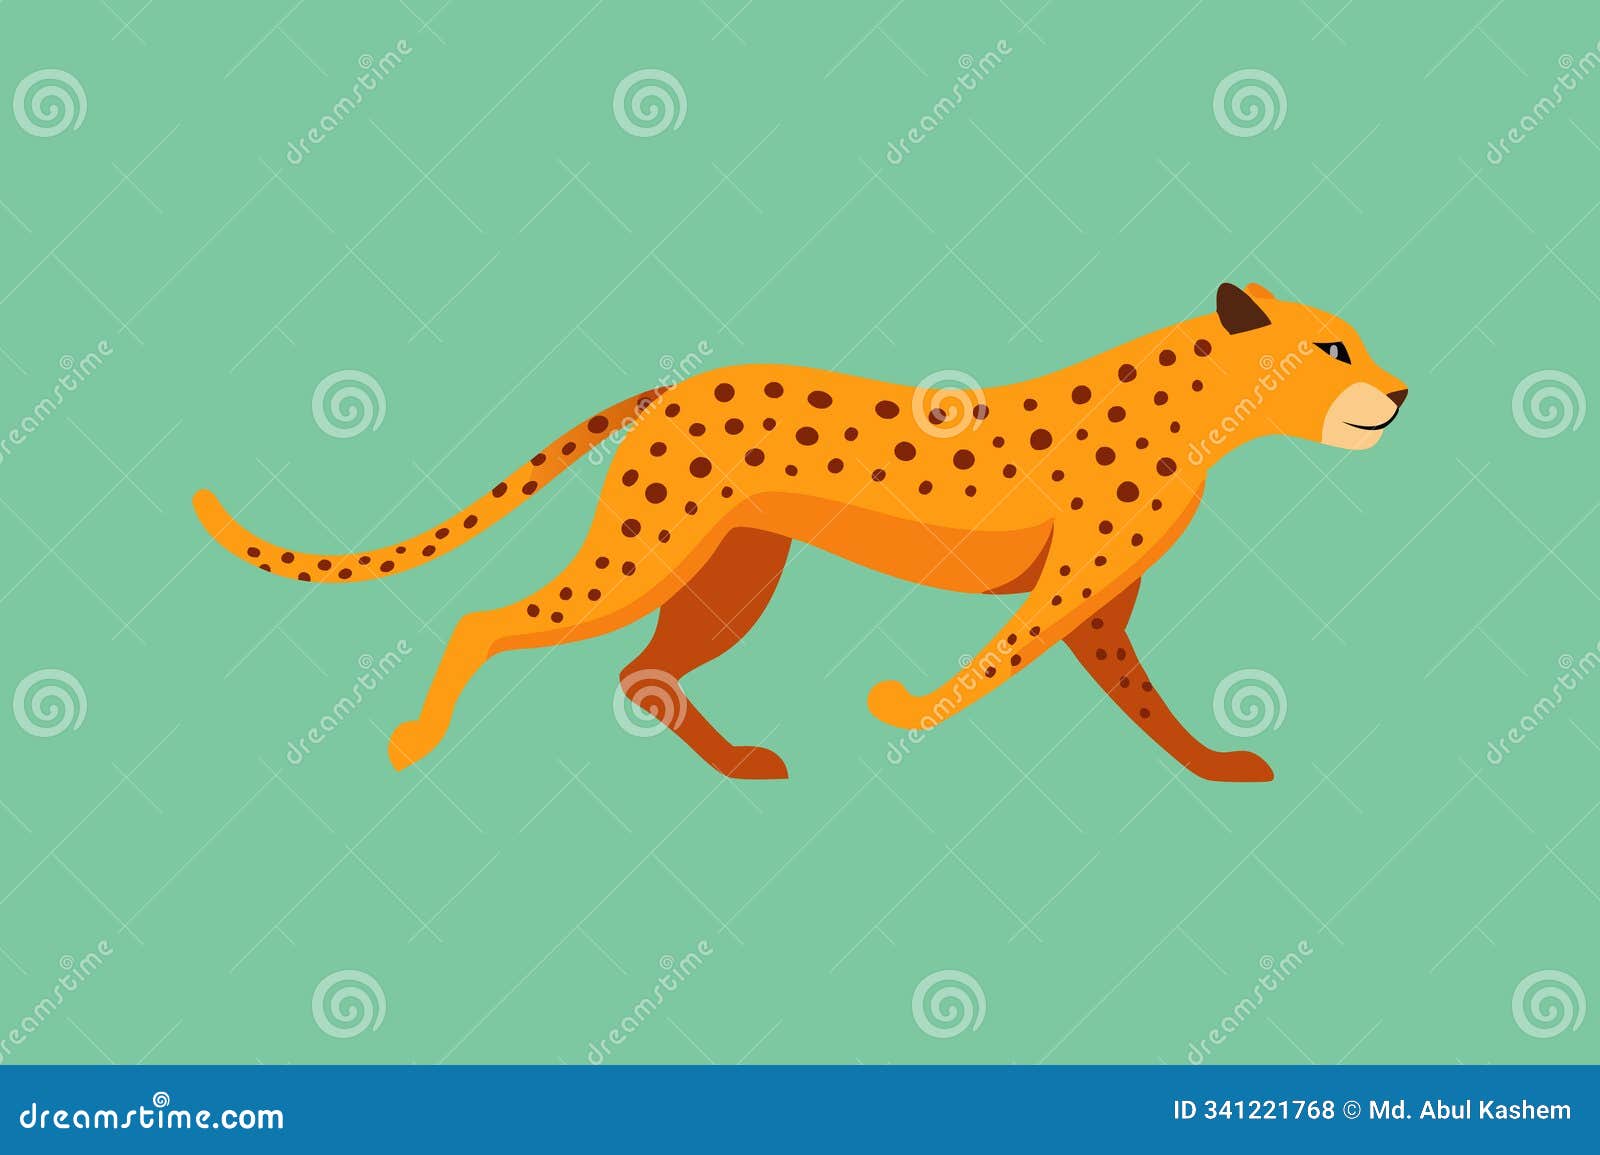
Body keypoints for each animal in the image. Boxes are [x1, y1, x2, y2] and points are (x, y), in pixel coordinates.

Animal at [194, 282, 1408, 783]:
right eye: (1332, 349)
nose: (1399, 393)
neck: (1209, 410)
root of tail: (673, 386)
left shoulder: (1100, 609)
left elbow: (1145, 704)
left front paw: (1216, 766)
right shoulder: (1066, 592)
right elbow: (995, 662)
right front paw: (904, 709)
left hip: (733, 573)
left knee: (643, 672)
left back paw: (737, 765)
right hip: (647, 555)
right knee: (490, 620)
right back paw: (413, 741)